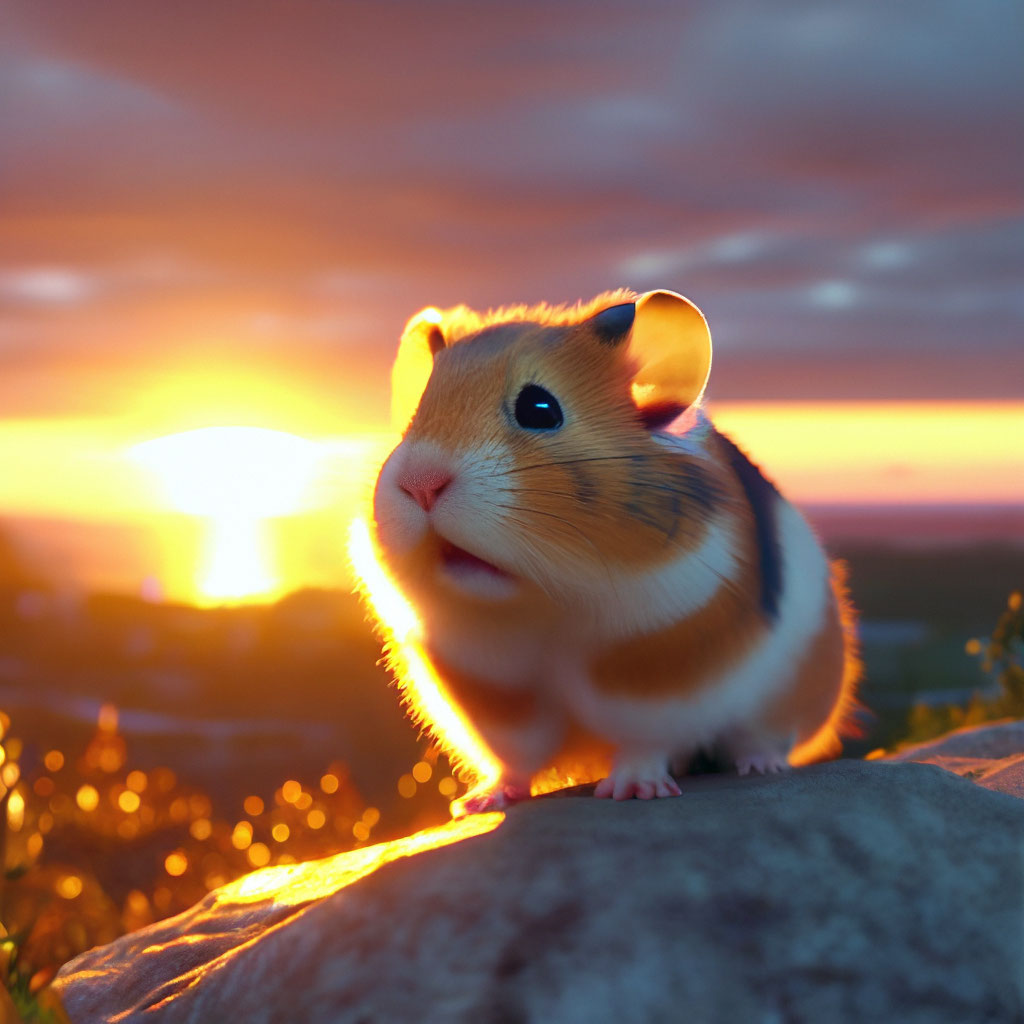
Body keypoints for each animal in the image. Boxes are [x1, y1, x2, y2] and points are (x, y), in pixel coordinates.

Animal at [369, 289, 860, 814]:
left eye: (540, 408)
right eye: (417, 414)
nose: (421, 484)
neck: (545, 603)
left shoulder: (658, 681)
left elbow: (642, 746)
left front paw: (633, 792)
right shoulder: (494, 693)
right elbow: (515, 760)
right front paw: (478, 804)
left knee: (763, 740)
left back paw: (758, 766)